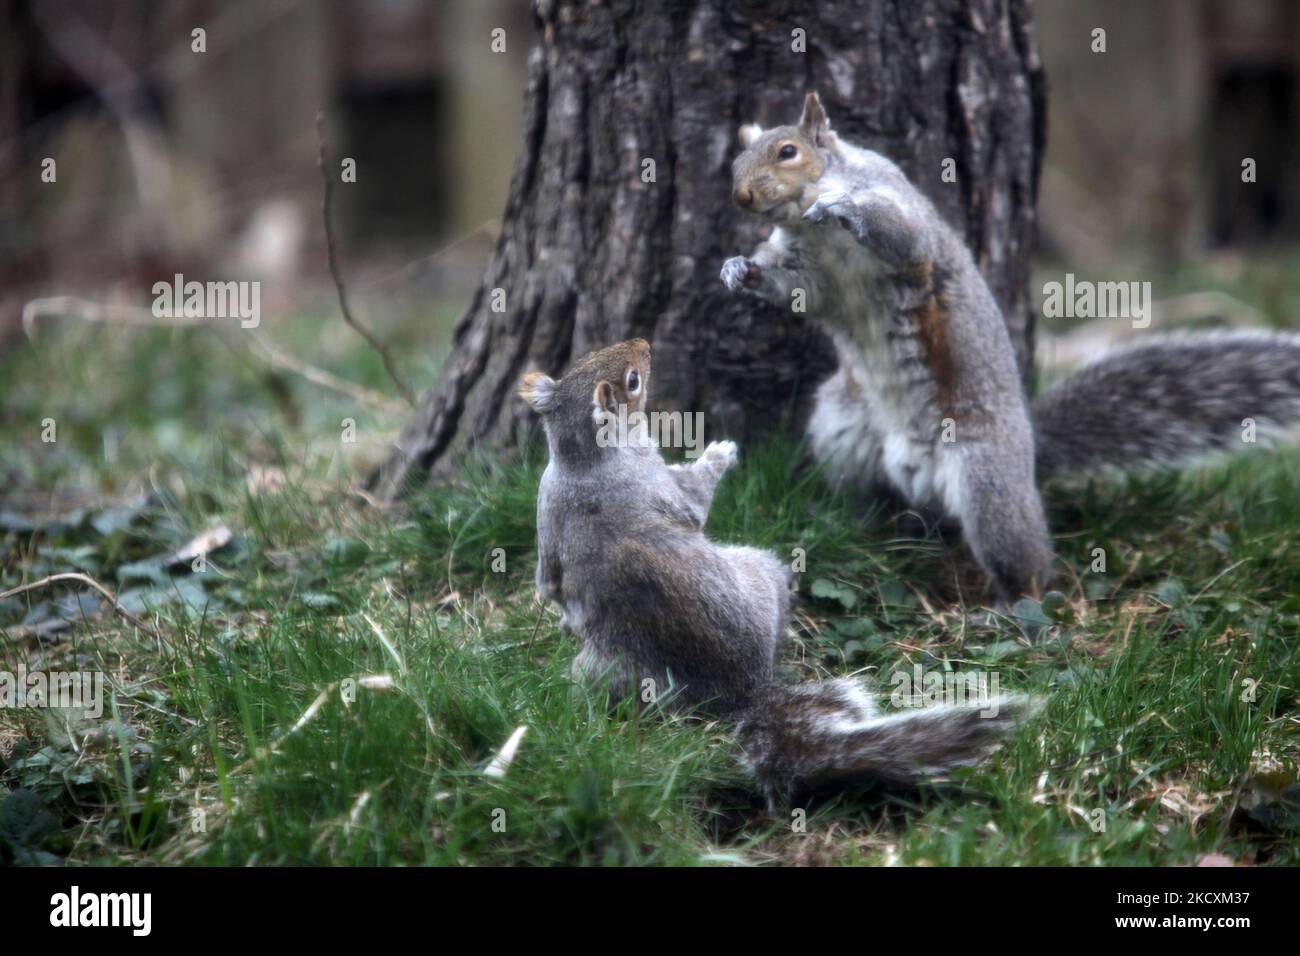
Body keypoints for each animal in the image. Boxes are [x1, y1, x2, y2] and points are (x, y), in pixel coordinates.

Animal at [519, 339, 1036, 804]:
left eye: (588, 355)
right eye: (633, 381)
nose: (645, 345)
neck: (586, 459)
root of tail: (742, 691)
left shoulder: (546, 509)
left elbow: (550, 582)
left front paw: (565, 618)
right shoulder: (658, 480)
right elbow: (694, 502)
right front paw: (720, 453)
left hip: (601, 669)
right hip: (761, 571)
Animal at [722, 91, 1300, 601]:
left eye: (788, 152)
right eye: (736, 161)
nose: (741, 198)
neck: (812, 229)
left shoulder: (902, 220)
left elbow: (899, 233)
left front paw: (840, 203)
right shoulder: (810, 273)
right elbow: (794, 288)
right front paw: (738, 269)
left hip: (987, 479)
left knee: (1026, 558)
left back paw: (1012, 607)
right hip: (843, 428)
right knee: (868, 489)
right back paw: (853, 519)